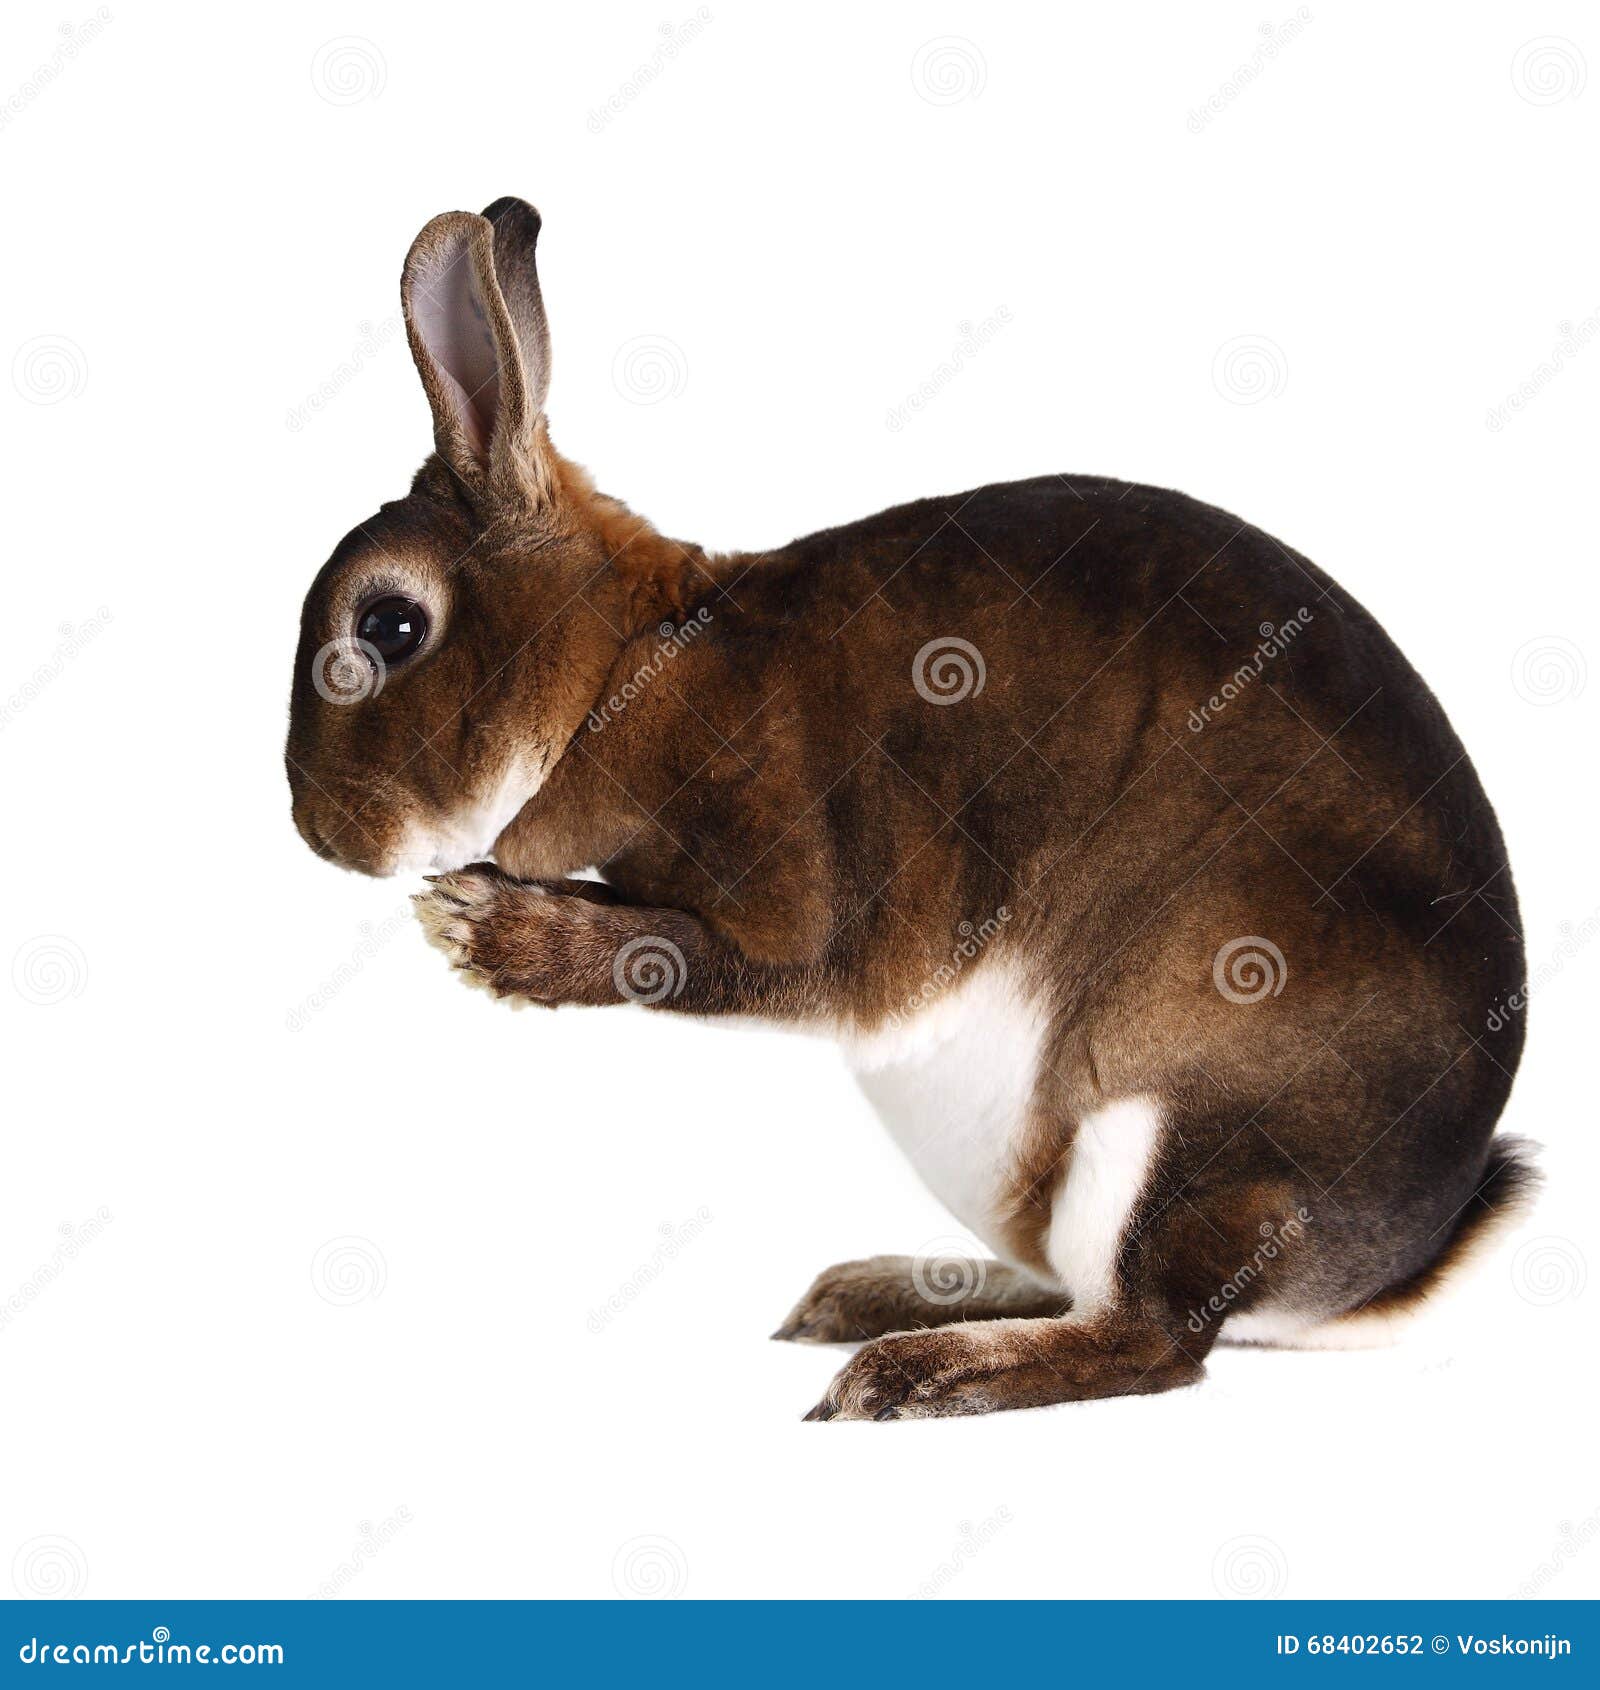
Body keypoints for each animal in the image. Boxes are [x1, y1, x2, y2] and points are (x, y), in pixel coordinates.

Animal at [287, 198, 1534, 1420]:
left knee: (1151, 1340)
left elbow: (698, 959)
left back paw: (912, 1373)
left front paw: (487, 932)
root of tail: (1386, 1268)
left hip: (1173, 1120)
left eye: (388, 626)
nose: (324, 834)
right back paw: (872, 1297)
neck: (627, 666)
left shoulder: (818, 890)